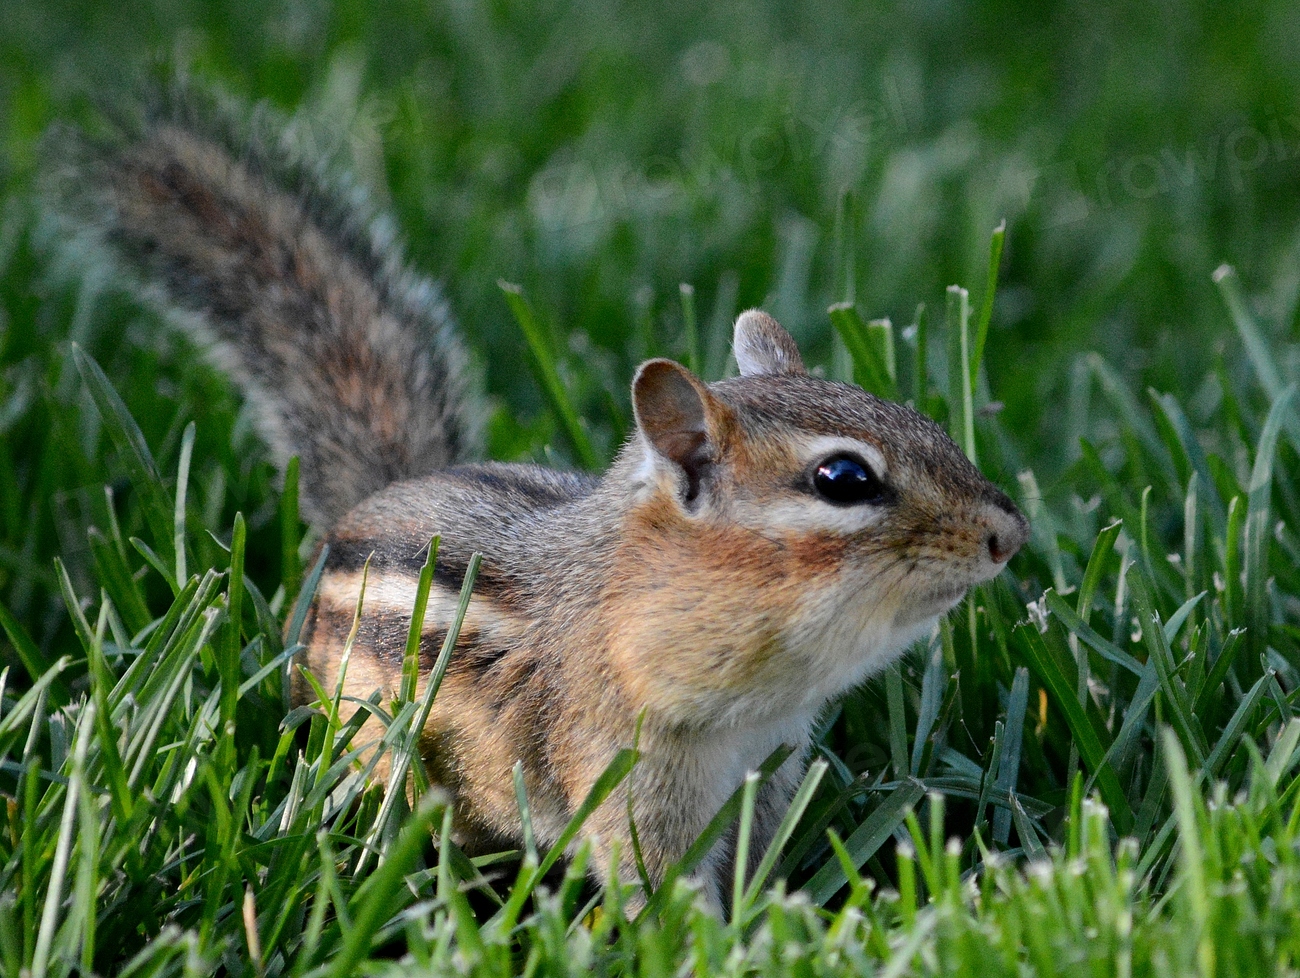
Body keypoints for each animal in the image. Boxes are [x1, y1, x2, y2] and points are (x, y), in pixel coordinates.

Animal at [47, 84, 1029, 910]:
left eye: (917, 416)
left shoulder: (768, 773)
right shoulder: (627, 772)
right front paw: (716, 944)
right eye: (843, 480)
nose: (1009, 534)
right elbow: (659, 888)